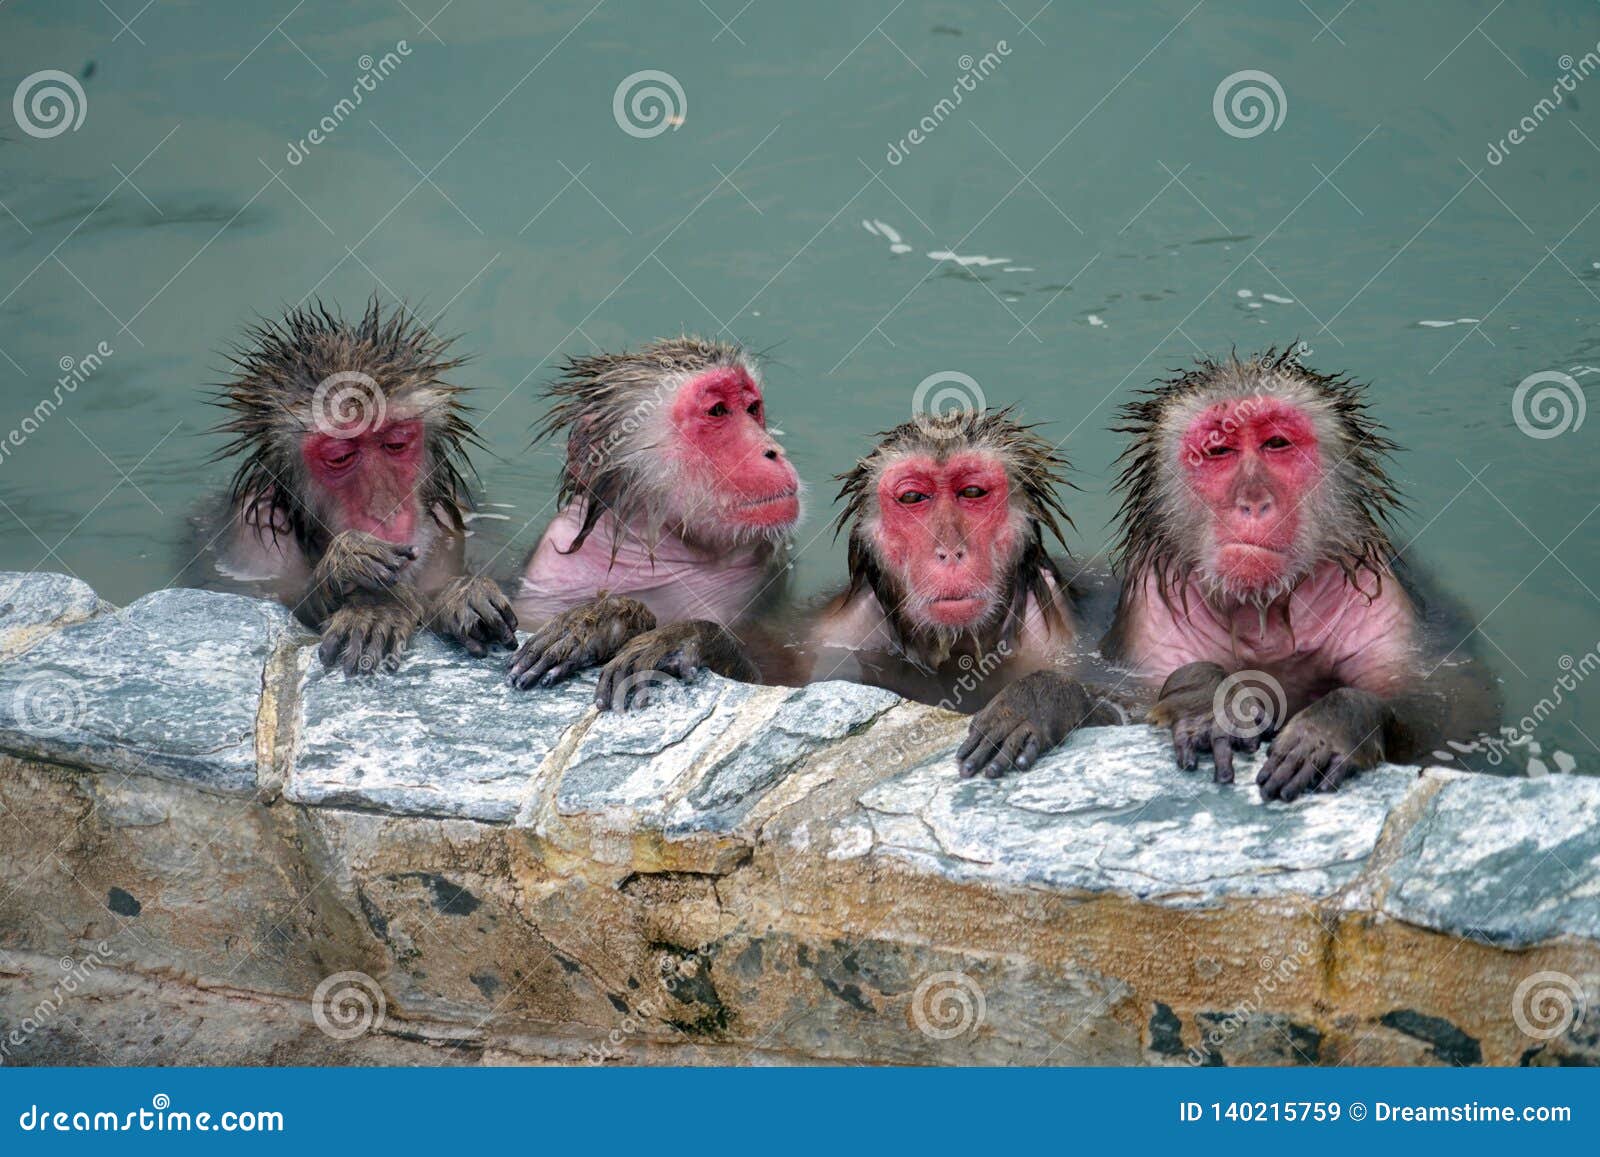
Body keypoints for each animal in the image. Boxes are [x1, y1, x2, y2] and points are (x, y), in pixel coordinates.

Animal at [194, 299, 517, 674]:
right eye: (340, 457)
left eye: (396, 443)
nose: (384, 509)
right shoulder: (249, 531)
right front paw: (356, 575)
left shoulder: (451, 518)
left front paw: (461, 596)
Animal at [506, 337, 802, 708]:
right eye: (718, 411)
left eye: (752, 409)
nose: (772, 451)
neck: (662, 547)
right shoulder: (554, 563)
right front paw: (603, 622)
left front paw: (677, 638)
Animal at [808, 408, 1128, 779]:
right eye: (913, 497)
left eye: (972, 492)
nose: (949, 550)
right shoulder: (840, 632)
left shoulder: (1050, 632)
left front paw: (1035, 701)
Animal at [1101, 346, 1501, 800]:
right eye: (1218, 451)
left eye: (1276, 443)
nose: (1253, 500)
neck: (1263, 611)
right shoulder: (1151, 621)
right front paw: (1206, 702)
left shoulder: (1377, 595)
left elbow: (1451, 710)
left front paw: (1335, 724)